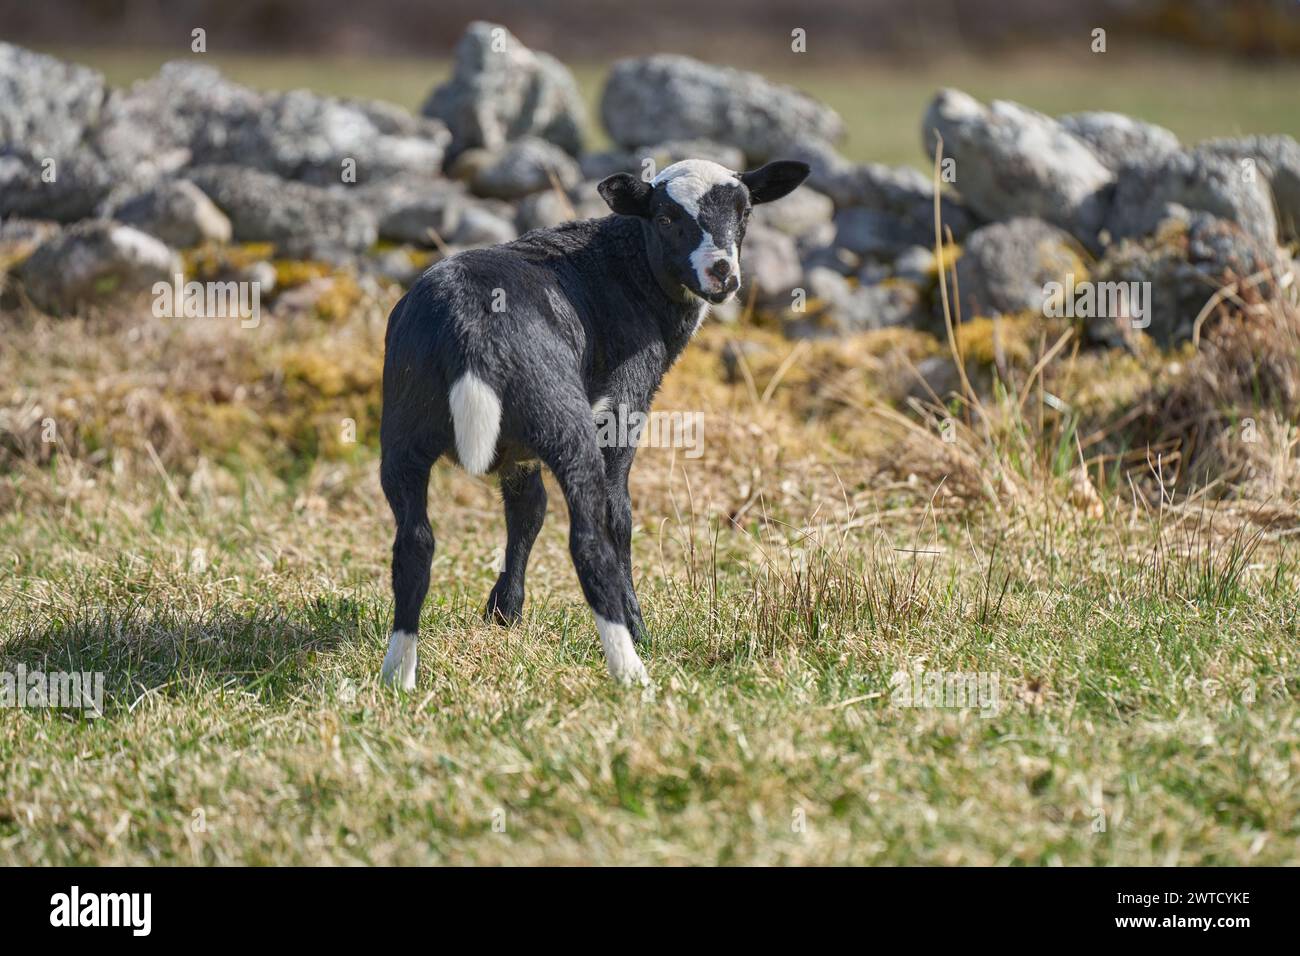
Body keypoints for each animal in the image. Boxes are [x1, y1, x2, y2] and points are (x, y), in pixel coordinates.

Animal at [378, 157, 810, 688]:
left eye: (745, 211)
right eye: (665, 218)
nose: (722, 274)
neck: (626, 267)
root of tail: (468, 328)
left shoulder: (516, 451)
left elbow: (527, 512)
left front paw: (504, 613)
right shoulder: (622, 407)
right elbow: (617, 516)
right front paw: (638, 625)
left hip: (403, 427)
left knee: (414, 544)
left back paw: (398, 675)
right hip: (563, 418)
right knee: (589, 542)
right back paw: (630, 665)